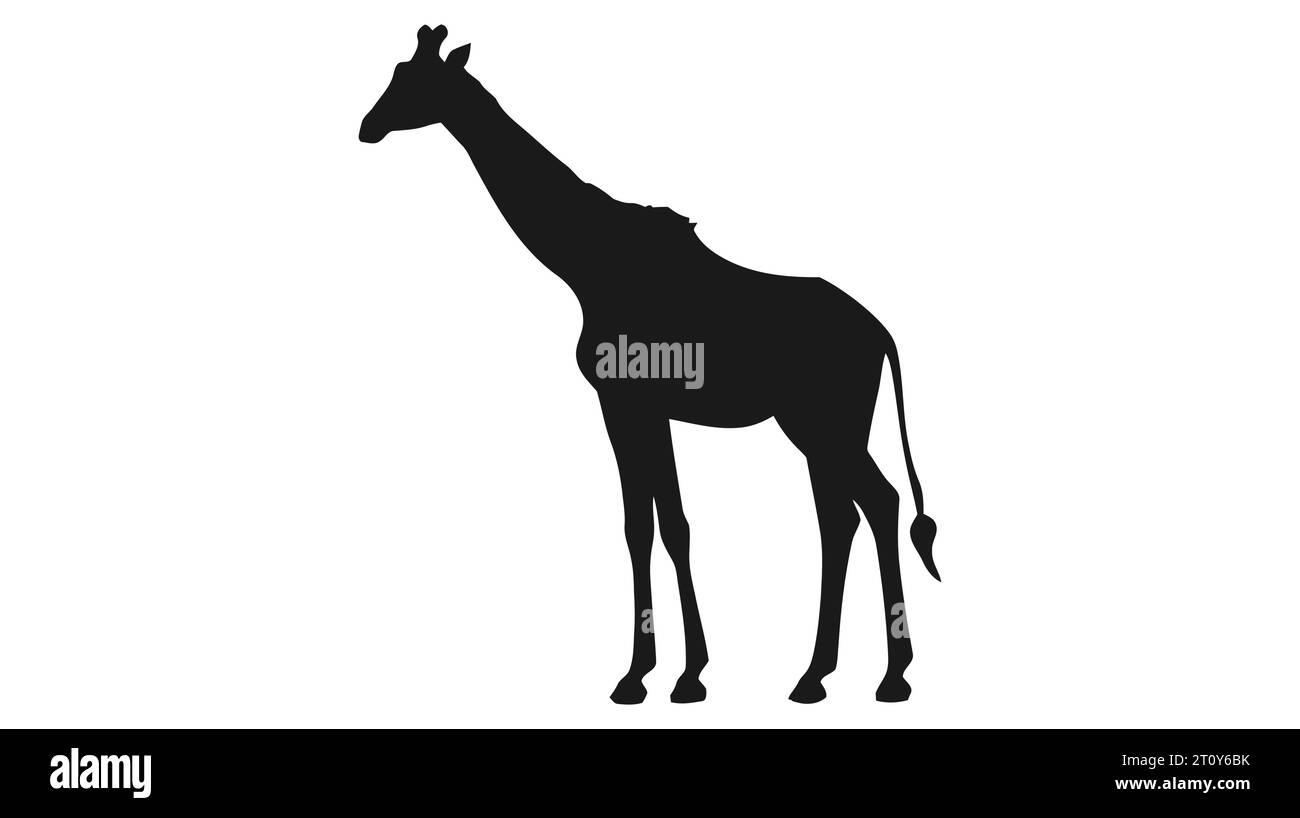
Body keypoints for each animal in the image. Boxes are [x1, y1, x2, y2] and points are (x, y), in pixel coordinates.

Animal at [360, 25, 939, 704]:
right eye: (396, 71)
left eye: (413, 79)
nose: (368, 126)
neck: (587, 263)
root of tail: (880, 332)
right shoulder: (645, 408)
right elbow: (656, 525)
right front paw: (662, 672)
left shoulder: (626, 400)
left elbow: (657, 526)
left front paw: (667, 676)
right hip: (820, 426)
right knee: (847, 514)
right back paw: (817, 675)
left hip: (825, 423)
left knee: (872, 504)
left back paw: (889, 677)